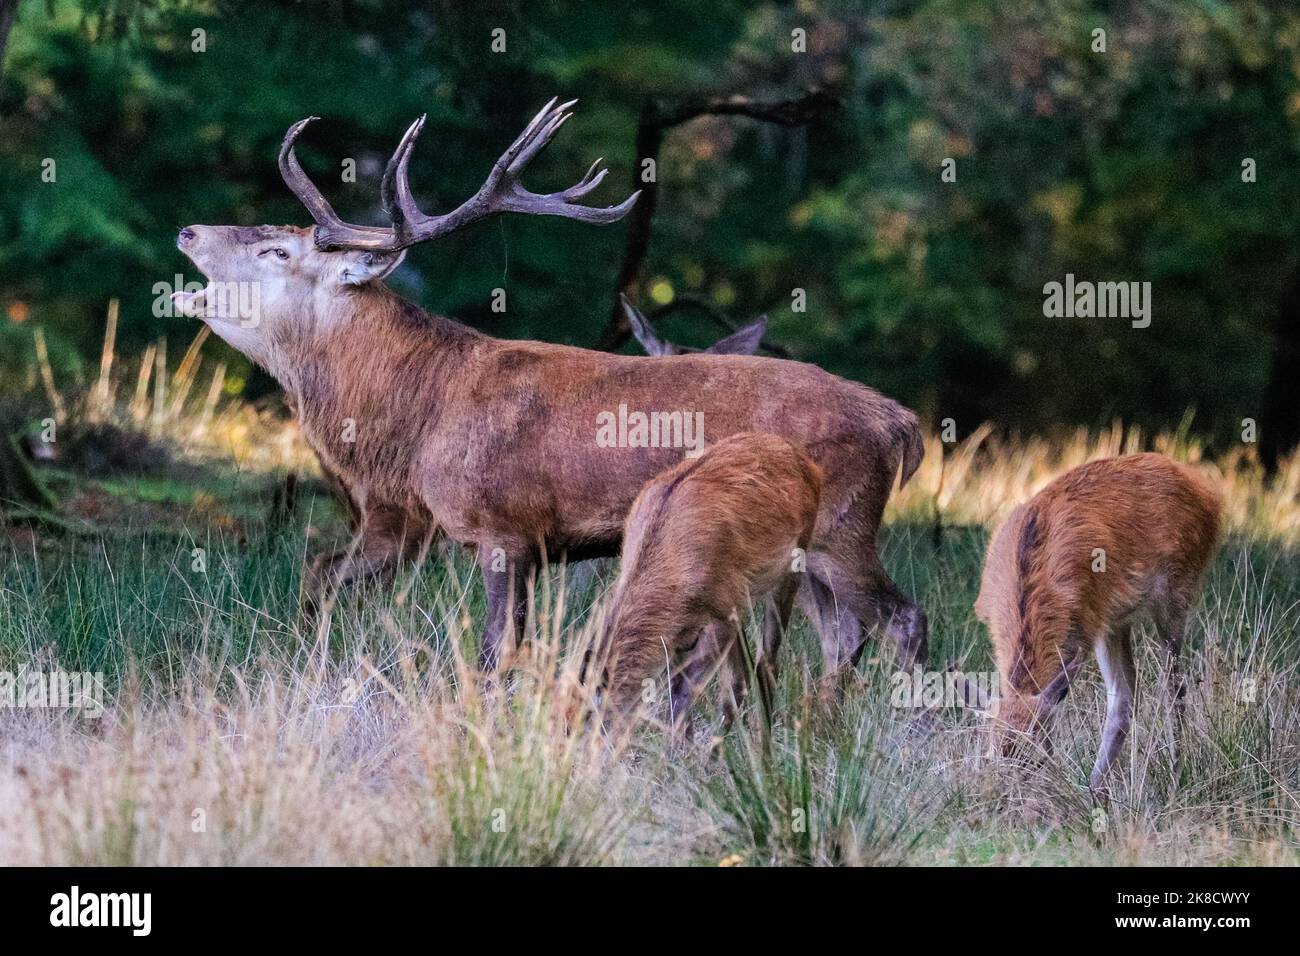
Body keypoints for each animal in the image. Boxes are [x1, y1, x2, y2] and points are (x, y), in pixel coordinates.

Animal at [172, 96, 928, 677]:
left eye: (279, 250)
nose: (188, 229)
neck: (418, 416)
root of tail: (900, 422)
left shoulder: (501, 526)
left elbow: (491, 653)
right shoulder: (504, 542)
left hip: (843, 523)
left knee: (905, 620)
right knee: (841, 635)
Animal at [586, 432, 821, 731]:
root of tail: (807, 462)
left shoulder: (722, 608)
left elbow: (688, 691)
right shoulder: (682, 633)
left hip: (792, 564)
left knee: (765, 662)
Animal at [974, 453, 1222, 790]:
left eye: (1037, 756)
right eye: (991, 755)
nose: (1006, 795)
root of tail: (1209, 493)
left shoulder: (1084, 626)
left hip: (1177, 591)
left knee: (1174, 689)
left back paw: (1173, 777)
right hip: (1115, 622)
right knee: (1126, 697)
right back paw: (1097, 788)